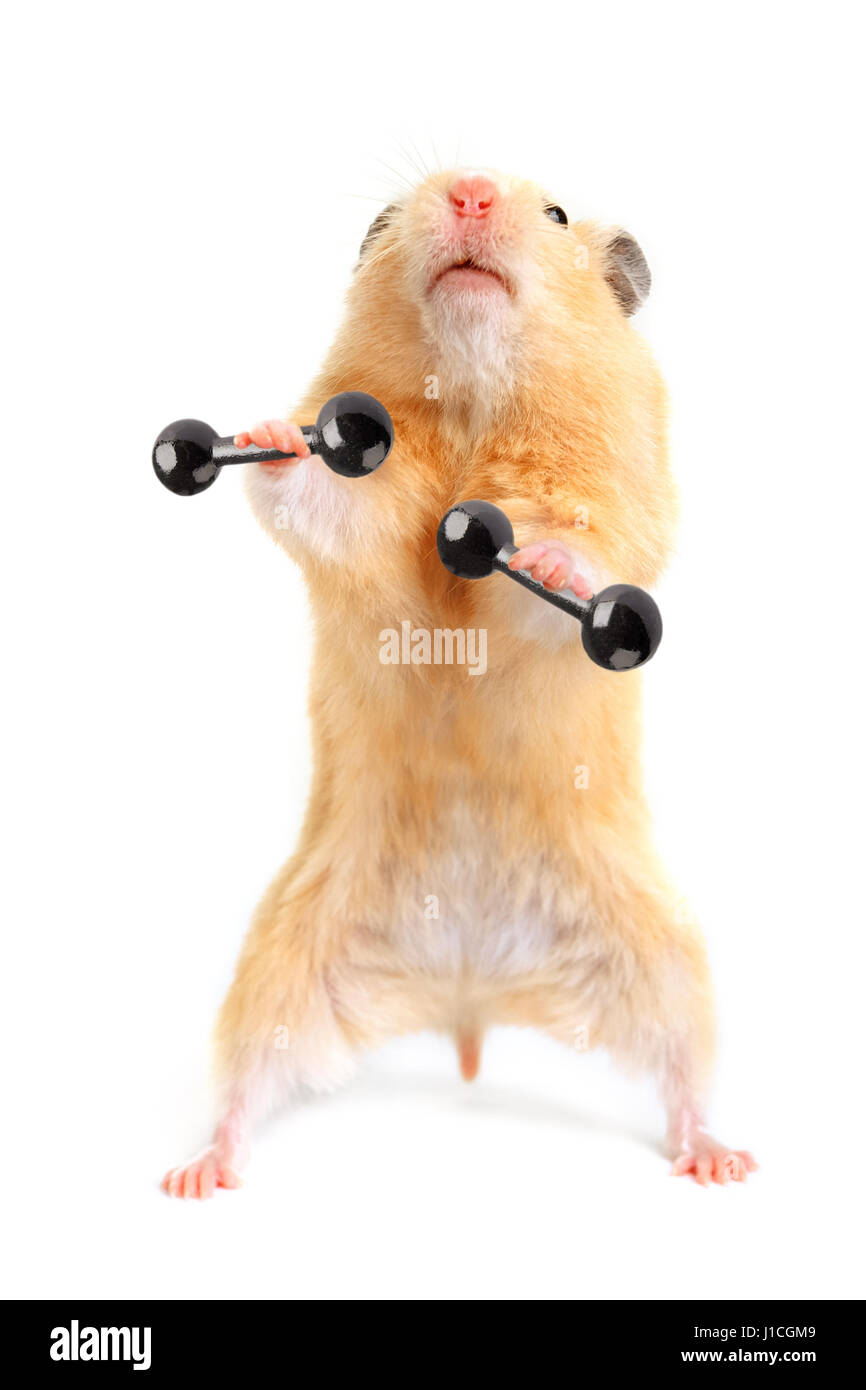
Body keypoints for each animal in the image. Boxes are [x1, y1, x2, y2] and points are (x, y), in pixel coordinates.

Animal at [162, 169, 756, 1197]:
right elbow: (328, 502)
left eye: (555, 213)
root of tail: (471, 988)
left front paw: (553, 566)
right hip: (280, 960)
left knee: (685, 1072)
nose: (471, 191)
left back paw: (723, 1161)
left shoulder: (618, 497)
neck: (476, 395)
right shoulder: (373, 523)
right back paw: (198, 1173)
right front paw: (279, 436)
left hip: (664, 956)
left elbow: (576, 555)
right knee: (245, 1081)